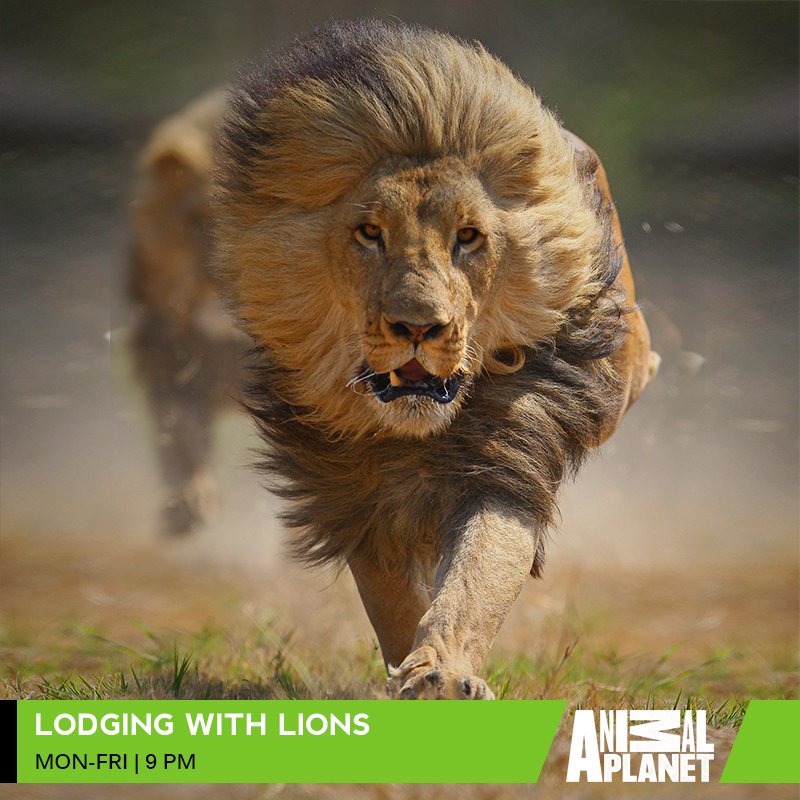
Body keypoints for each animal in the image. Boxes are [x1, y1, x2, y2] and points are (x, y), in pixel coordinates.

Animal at [134, 19, 658, 698]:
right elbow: (390, 597)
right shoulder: (350, 482)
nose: (418, 326)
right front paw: (414, 670)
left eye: (469, 237)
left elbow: (477, 576)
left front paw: (442, 671)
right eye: (369, 233)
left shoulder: (505, 457)